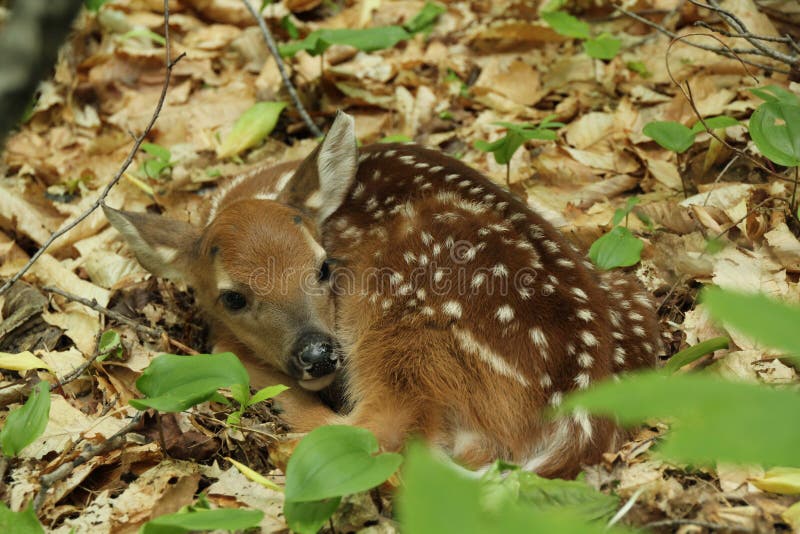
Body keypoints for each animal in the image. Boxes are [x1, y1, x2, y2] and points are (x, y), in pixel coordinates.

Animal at [104, 111, 660, 478]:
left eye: (325, 266)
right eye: (234, 297)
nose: (317, 353)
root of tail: (579, 417)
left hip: (403, 319)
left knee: (379, 434)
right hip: (632, 293)